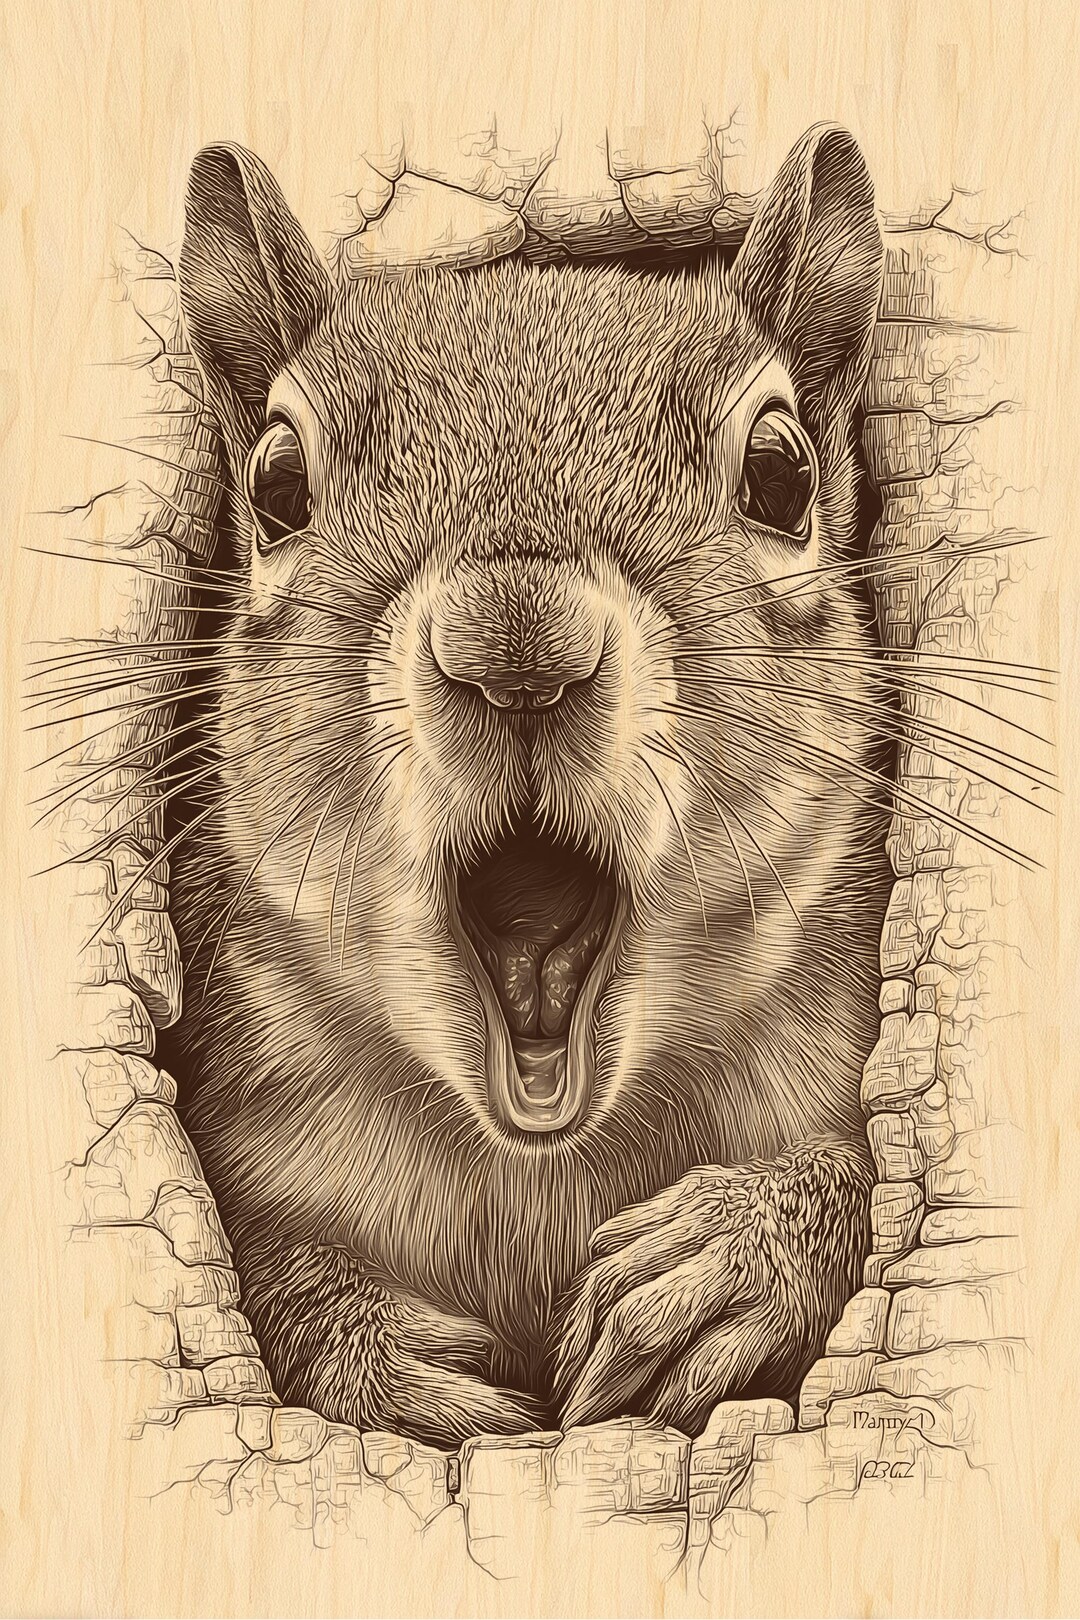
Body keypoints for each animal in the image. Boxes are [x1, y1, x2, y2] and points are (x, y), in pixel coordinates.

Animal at [167, 124, 892, 1450]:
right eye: (278, 486)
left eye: (779, 472)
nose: (518, 645)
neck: (545, 1163)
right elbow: (249, 1260)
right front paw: (363, 1346)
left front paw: (728, 1260)